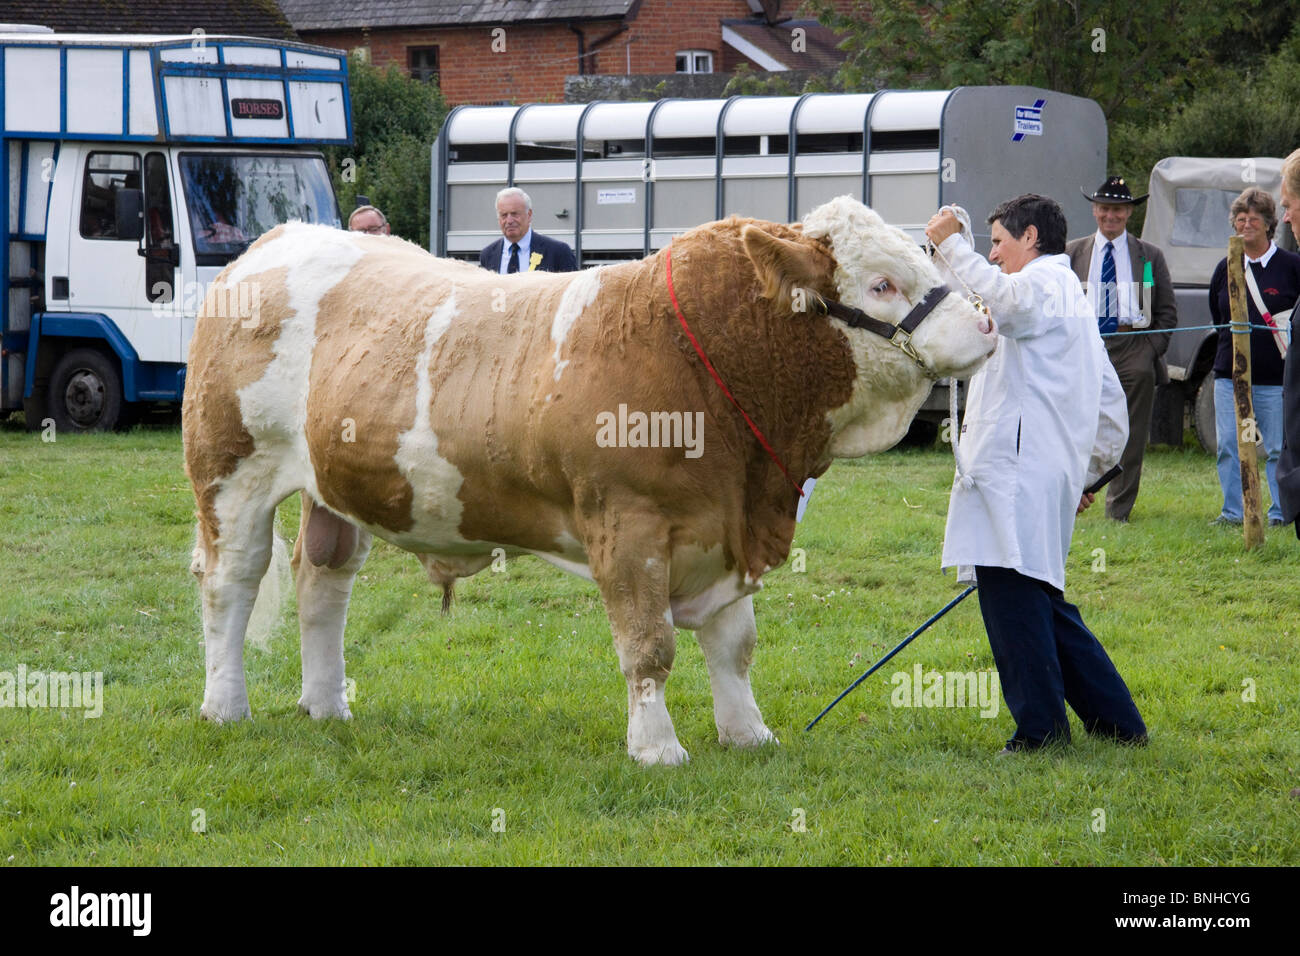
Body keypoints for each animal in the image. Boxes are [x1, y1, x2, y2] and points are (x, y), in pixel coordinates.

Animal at [183, 196, 996, 765]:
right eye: (883, 283)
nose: (987, 324)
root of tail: (277, 240)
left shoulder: (730, 530)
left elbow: (733, 644)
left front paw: (748, 733)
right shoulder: (628, 527)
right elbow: (649, 645)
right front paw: (658, 748)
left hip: (335, 490)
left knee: (324, 582)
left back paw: (326, 705)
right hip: (231, 474)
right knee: (232, 584)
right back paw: (225, 706)